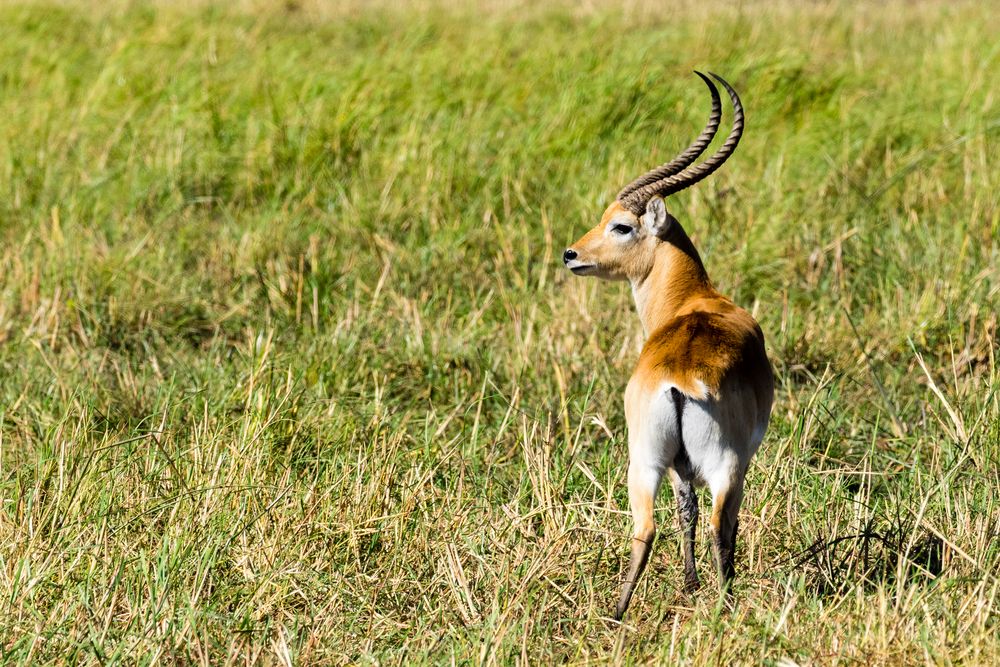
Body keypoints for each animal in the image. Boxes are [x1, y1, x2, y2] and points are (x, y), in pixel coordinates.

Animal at [564, 73, 772, 620]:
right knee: (723, 525)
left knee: (646, 528)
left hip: (643, 461)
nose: (571, 254)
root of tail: (678, 382)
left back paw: (617, 613)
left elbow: (685, 511)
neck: (694, 301)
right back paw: (724, 604)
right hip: (725, 465)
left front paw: (689, 583)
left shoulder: (678, 466)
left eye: (621, 225)